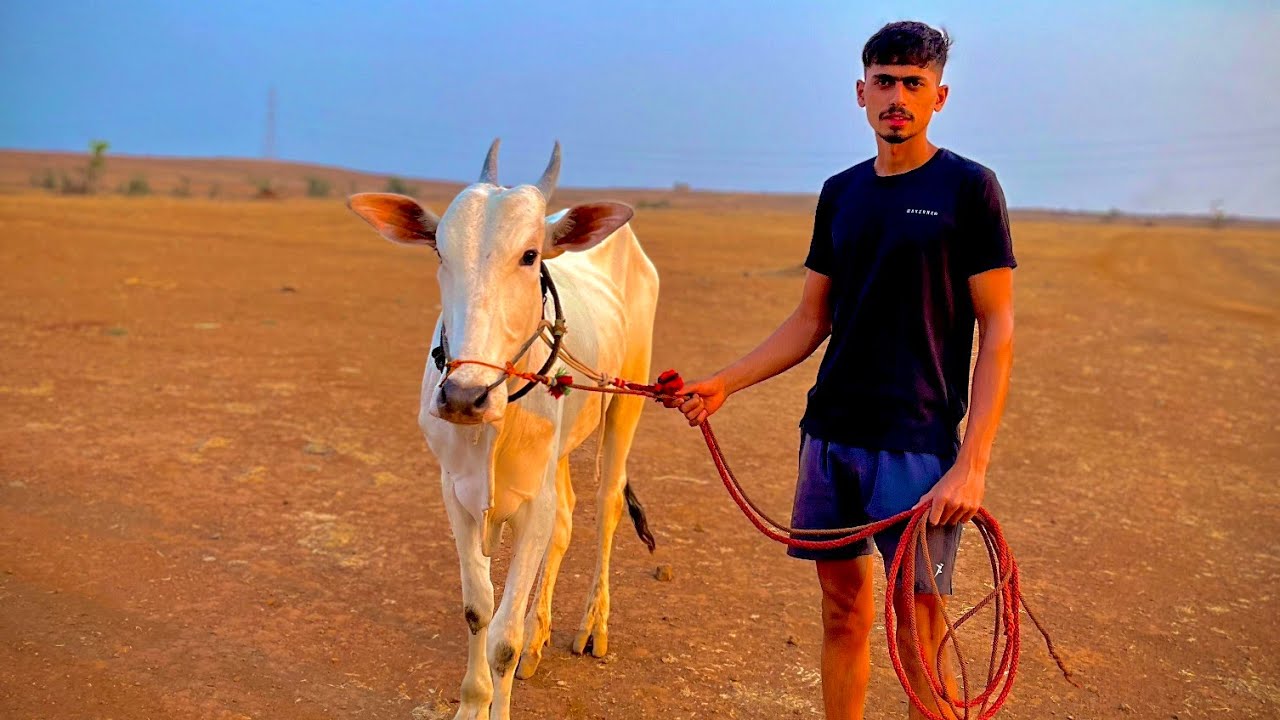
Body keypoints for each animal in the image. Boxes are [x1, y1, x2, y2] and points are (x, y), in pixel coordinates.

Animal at [347, 140, 660, 720]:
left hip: (626, 405)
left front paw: (508, 673)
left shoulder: (530, 502)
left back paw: (592, 626)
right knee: (567, 518)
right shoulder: (456, 493)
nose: (463, 396)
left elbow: (503, 639)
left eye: (530, 255)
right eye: (440, 252)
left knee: (605, 506)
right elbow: (477, 610)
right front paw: (473, 702)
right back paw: (541, 639)